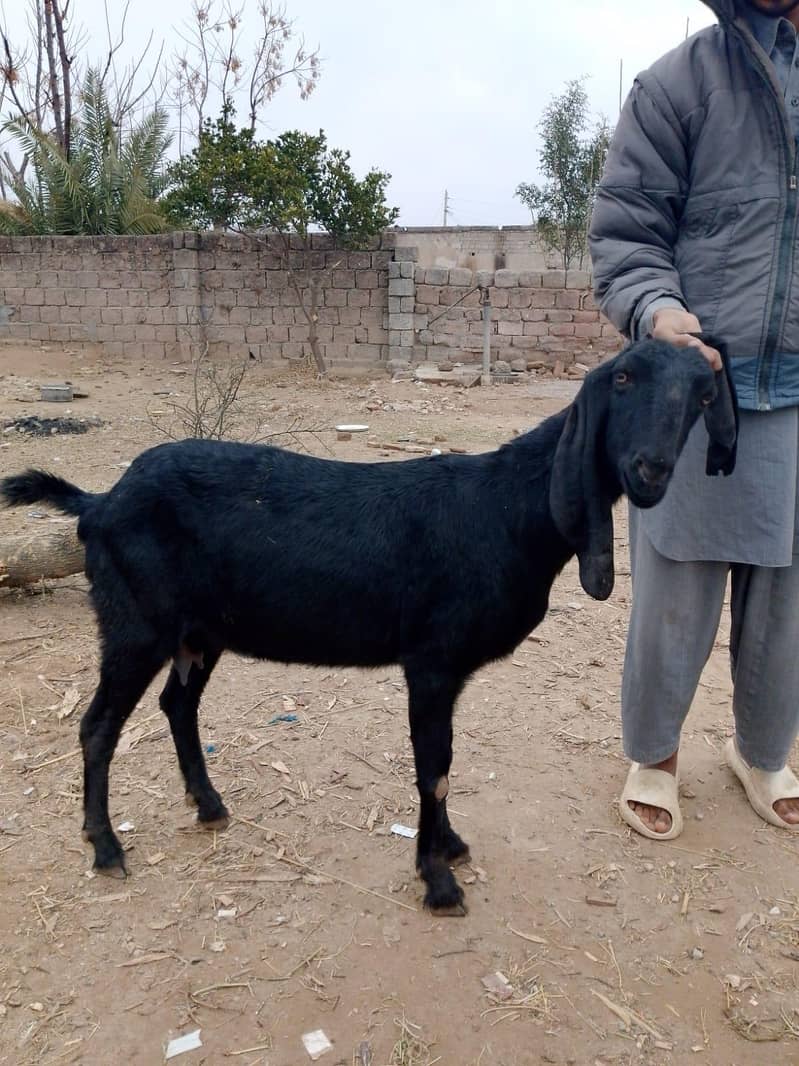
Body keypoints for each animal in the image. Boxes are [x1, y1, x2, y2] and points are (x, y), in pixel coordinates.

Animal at [0, 339, 737, 912]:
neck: (504, 508)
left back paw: (208, 806)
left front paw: (448, 847)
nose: (649, 469)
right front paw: (438, 881)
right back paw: (105, 846)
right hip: (136, 623)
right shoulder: (432, 662)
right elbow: (433, 769)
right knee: (99, 725)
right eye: (622, 379)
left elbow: (442, 766)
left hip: (201, 631)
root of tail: (99, 502)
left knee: (177, 704)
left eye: (703, 396)